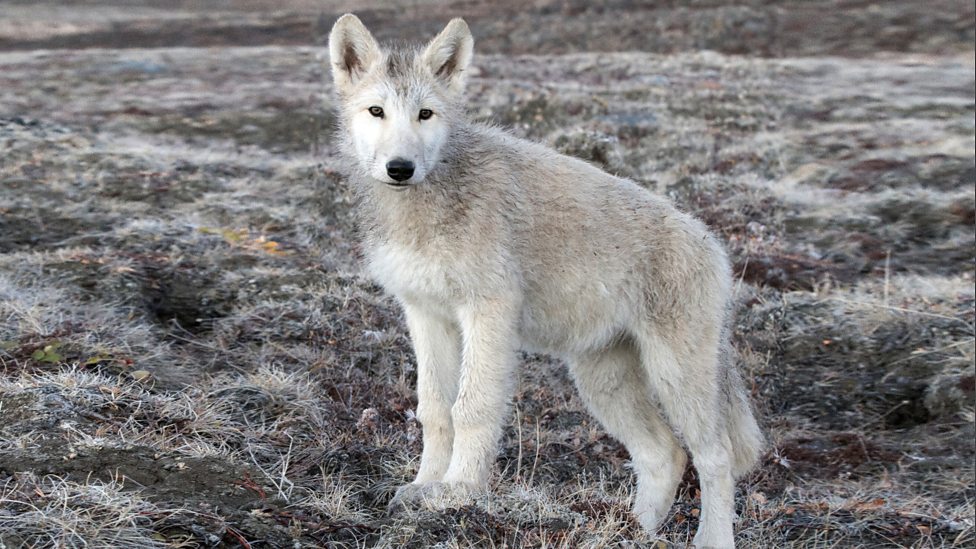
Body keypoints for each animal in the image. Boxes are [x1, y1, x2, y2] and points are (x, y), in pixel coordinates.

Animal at [327, 14, 763, 548]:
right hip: (603, 383)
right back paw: (630, 531)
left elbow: (471, 409)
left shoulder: (487, 313)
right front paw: (425, 486)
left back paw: (709, 538)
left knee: (715, 456)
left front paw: (457, 493)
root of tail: (716, 247)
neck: (429, 203)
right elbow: (434, 409)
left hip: (675, 377)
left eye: (425, 114)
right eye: (377, 111)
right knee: (665, 455)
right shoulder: (426, 315)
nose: (400, 168)